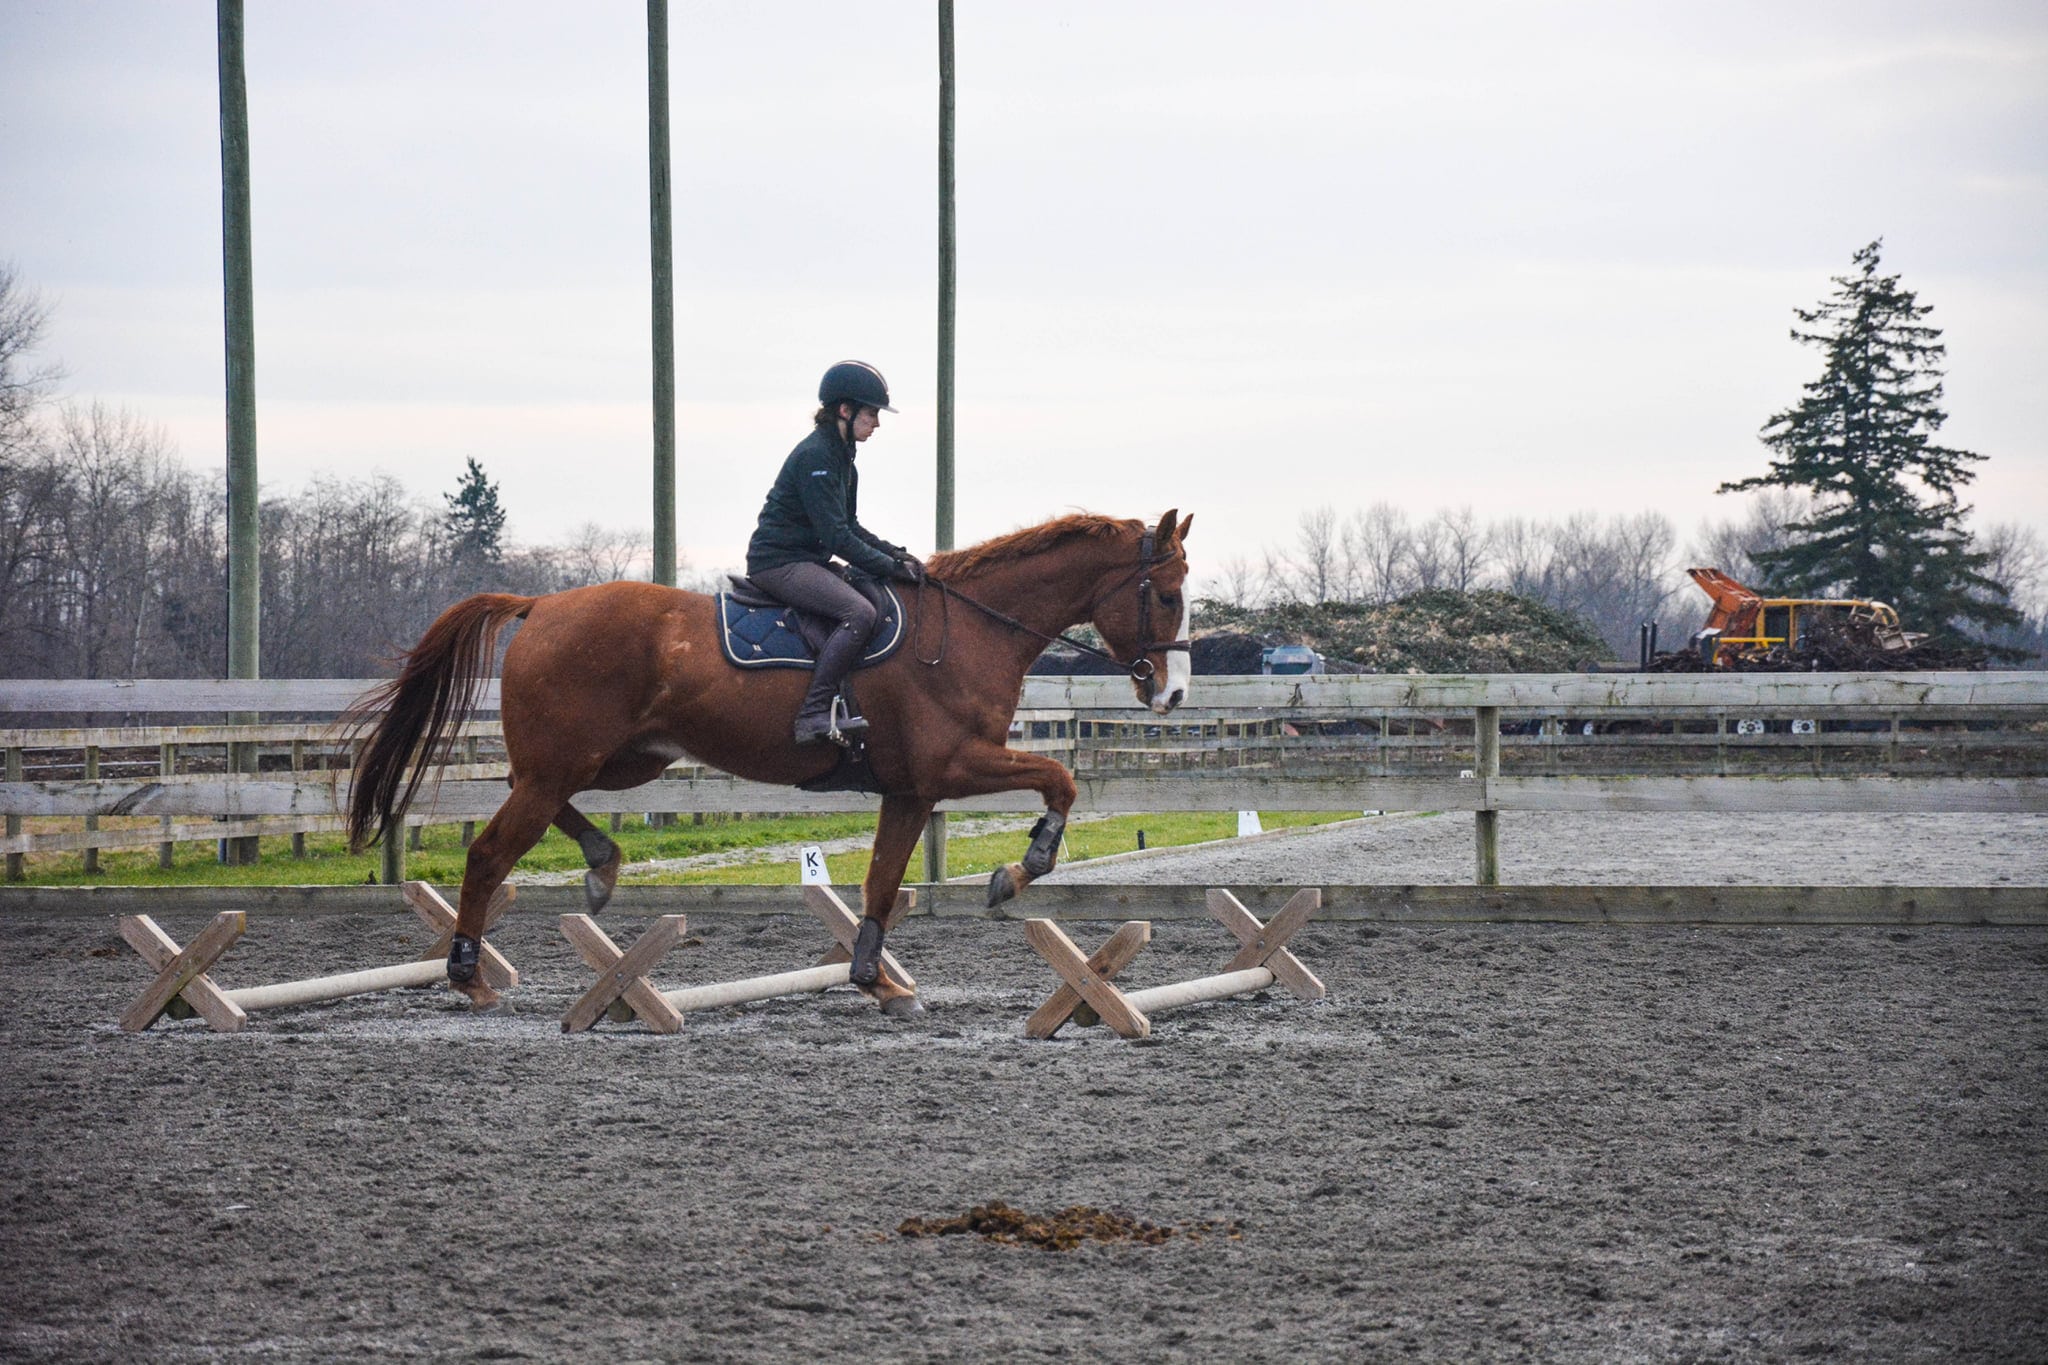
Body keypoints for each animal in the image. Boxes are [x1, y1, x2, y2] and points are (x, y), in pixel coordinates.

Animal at [344, 509, 1194, 1015]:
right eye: (1166, 594)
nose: (1175, 692)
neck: (970, 630)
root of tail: (541, 605)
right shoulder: (953, 765)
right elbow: (1062, 779)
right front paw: (1018, 869)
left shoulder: (911, 789)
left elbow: (881, 881)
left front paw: (877, 980)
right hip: (573, 760)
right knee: (490, 852)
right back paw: (470, 974)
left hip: (621, 760)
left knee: (542, 800)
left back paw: (600, 860)